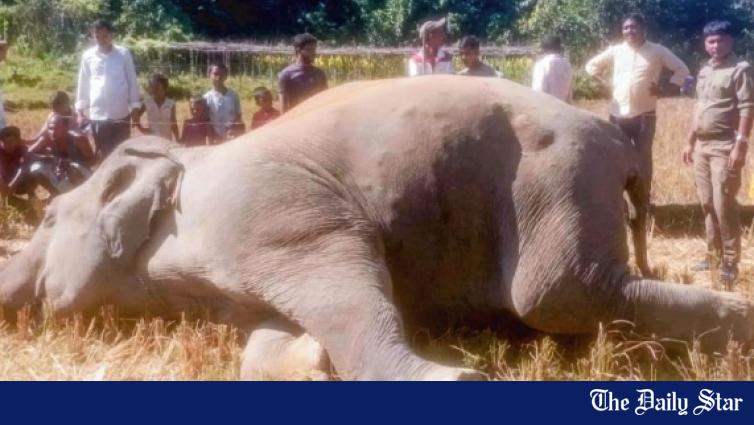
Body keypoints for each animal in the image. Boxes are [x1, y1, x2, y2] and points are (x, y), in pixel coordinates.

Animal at [0, 76, 752, 380]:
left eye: (47, 215)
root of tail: (617, 139)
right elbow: (264, 336)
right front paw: (309, 363)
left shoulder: (274, 209)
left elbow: (349, 278)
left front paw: (456, 379)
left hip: (555, 175)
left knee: (559, 295)